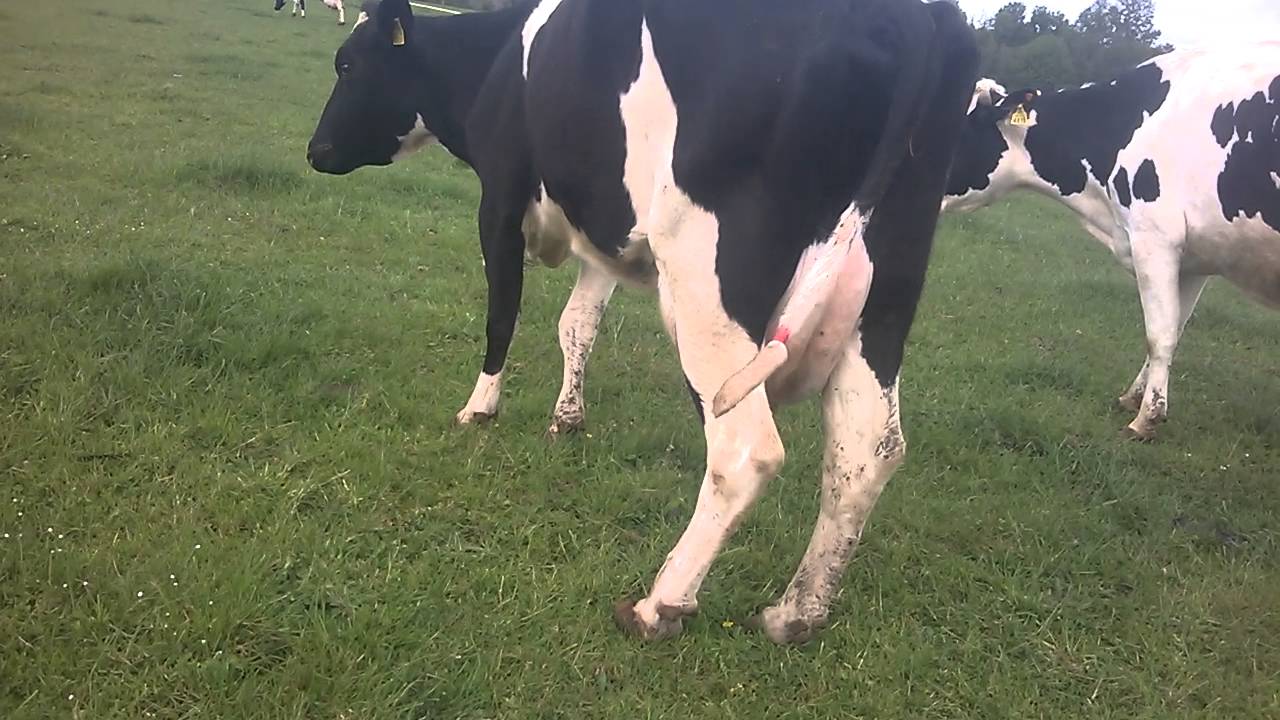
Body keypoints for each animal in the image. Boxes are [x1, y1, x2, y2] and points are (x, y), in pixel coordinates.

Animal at [305, 0, 977, 643]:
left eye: (347, 65)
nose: (316, 150)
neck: (496, 63)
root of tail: (918, 16)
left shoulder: (499, 198)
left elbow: (503, 314)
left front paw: (480, 408)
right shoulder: (601, 235)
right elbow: (576, 324)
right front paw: (567, 418)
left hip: (706, 276)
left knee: (745, 448)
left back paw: (661, 604)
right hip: (885, 290)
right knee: (867, 449)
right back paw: (796, 613)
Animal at [941, 43, 1280, 440]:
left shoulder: (1154, 238)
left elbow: (1158, 334)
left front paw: (1147, 418)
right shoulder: (1197, 258)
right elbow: (1174, 330)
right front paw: (1134, 397)